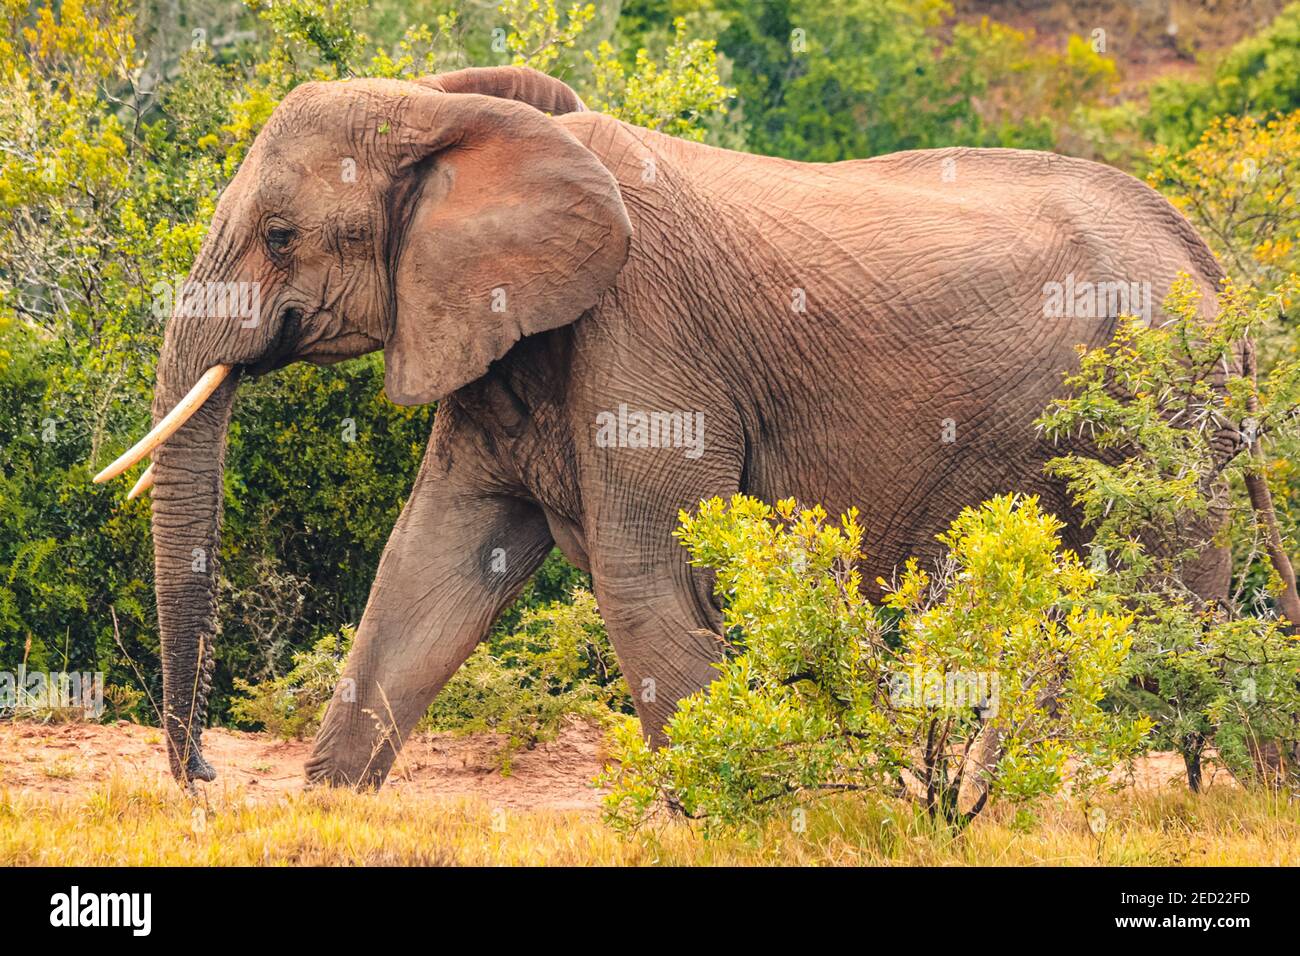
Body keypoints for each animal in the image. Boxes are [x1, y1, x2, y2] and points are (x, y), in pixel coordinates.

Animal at [94, 65, 1251, 788]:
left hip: (1167, 411)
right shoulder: (503, 337)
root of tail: (1206, 257)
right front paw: (328, 803)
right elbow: (431, 566)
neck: (453, 114)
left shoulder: (647, 335)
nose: (204, 774)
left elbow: (645, 584)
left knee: (1151, 609)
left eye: (282, 235)